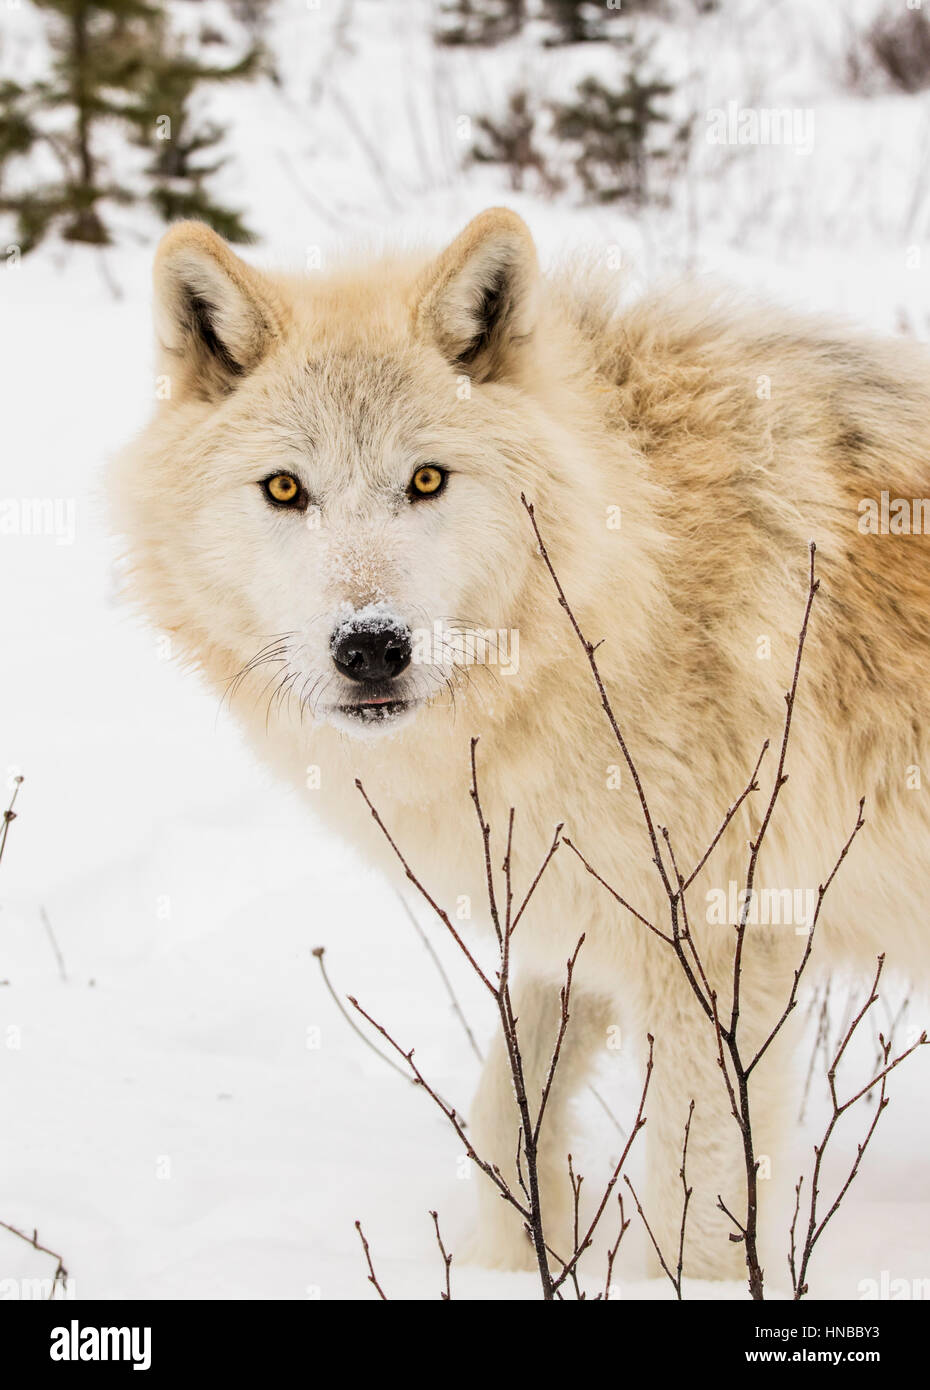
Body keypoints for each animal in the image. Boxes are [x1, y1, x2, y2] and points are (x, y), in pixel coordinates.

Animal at [110, 207, 930, 1284]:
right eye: (285, 489)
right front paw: (513, 1262)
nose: (371, 647)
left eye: (426, 479)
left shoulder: (721, 955)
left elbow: (697, 1200)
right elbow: (505, 1118)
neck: (635, 566)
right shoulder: (563, 921)